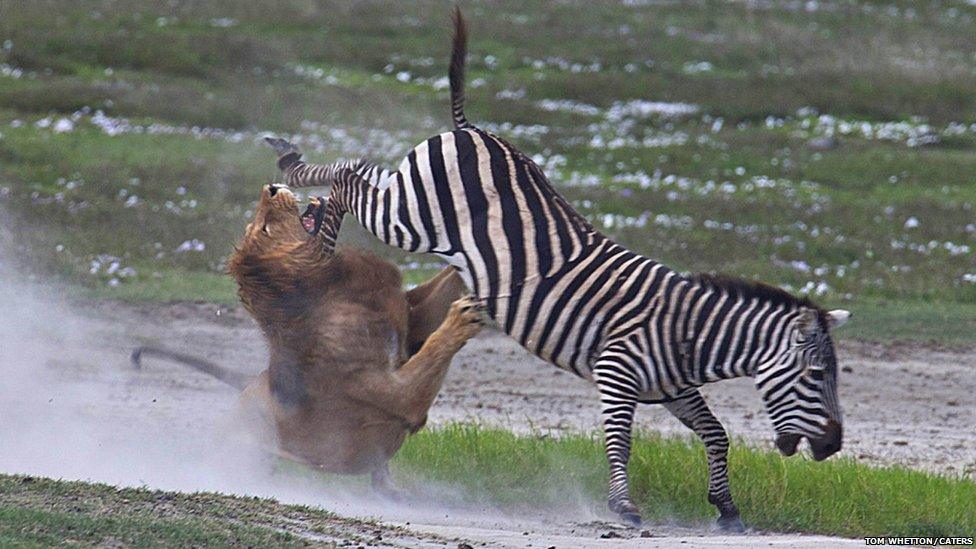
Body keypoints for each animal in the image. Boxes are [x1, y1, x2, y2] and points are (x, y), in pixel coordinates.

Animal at [132, 183, 481, 493]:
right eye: (264, 229)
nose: (271, 188)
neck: (332, 286)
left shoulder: (412, 320)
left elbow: (451, 273)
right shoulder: (396, 394)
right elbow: (432, 352)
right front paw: (463, 315)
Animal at [265, 7, 850, 530]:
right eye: (817, 377)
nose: (833, 446)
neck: (690, 332)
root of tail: (473, 130)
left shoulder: (676, 389)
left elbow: (716, 433)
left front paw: (726, 508)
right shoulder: (617, 369)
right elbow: (621, 439)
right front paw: (623, 507)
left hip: (410, 196)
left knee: (358, 172)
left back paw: (308, 201)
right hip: (411, 216)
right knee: (349, 179)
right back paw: (313, 220)